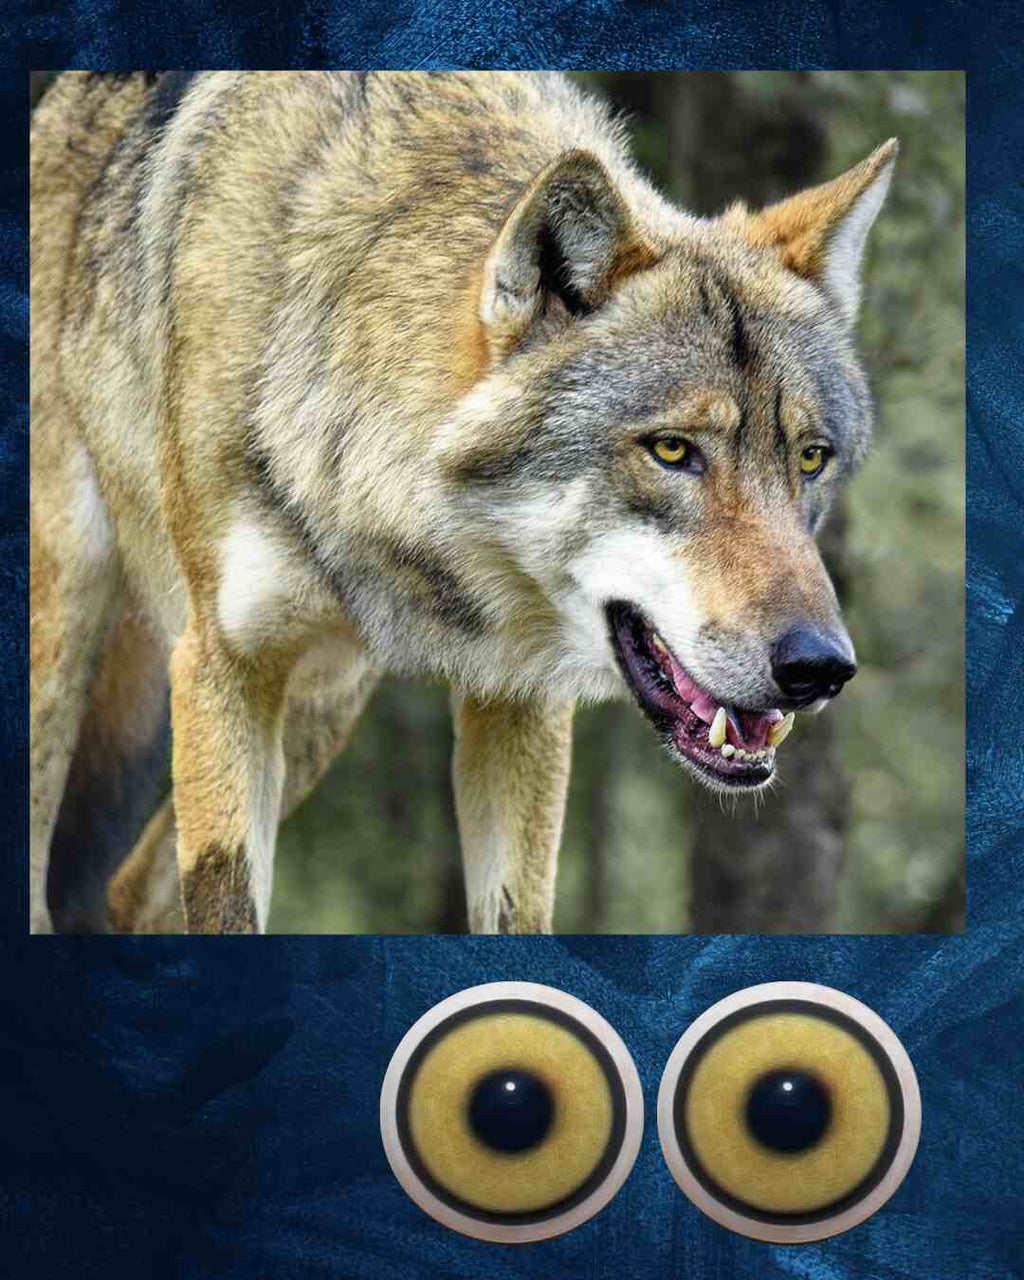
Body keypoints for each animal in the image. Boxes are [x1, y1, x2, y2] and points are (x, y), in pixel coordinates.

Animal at [30, 71, 895, 935]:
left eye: (810, 459)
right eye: (674, 451)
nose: (820, 667)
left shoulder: (522, 699)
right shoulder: (223, 665)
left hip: (319, 708)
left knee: (129, 892)